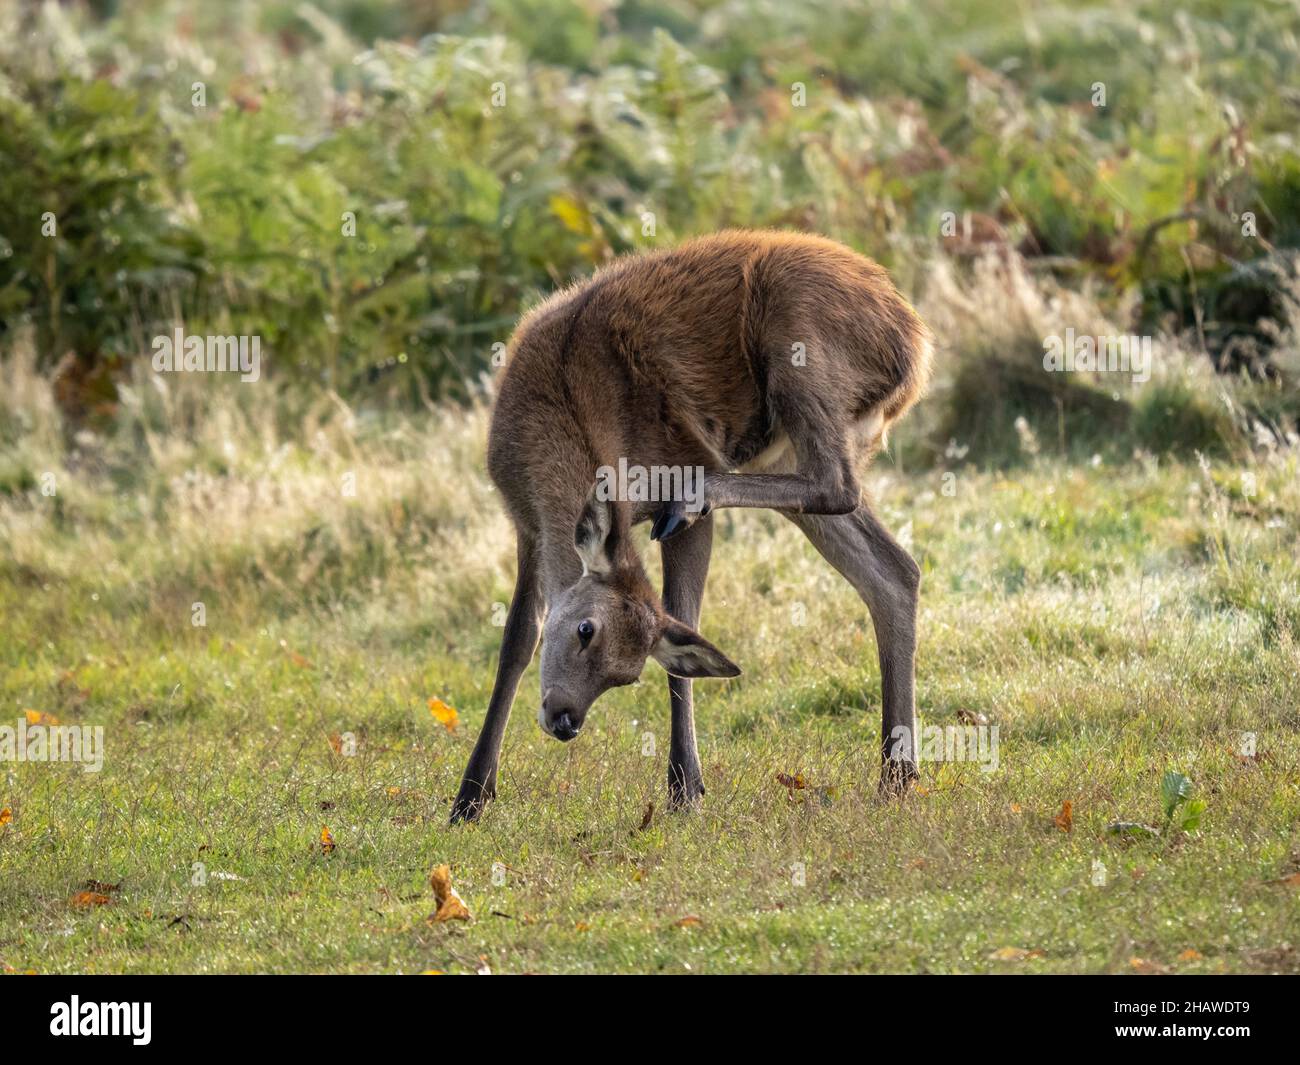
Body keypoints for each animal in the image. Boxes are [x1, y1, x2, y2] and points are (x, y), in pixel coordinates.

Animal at [450, 229, 933, 824]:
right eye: (586, 630)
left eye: (627, 672)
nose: (566, 721)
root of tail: (917, 351)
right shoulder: (526, 522)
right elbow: (518, 639)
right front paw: (469, 797)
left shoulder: (677, 482)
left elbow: (680, 619)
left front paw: (686, 789)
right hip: (789, 441)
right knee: (892, 568)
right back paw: (897, 776)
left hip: (799, 343)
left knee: (837, 484)